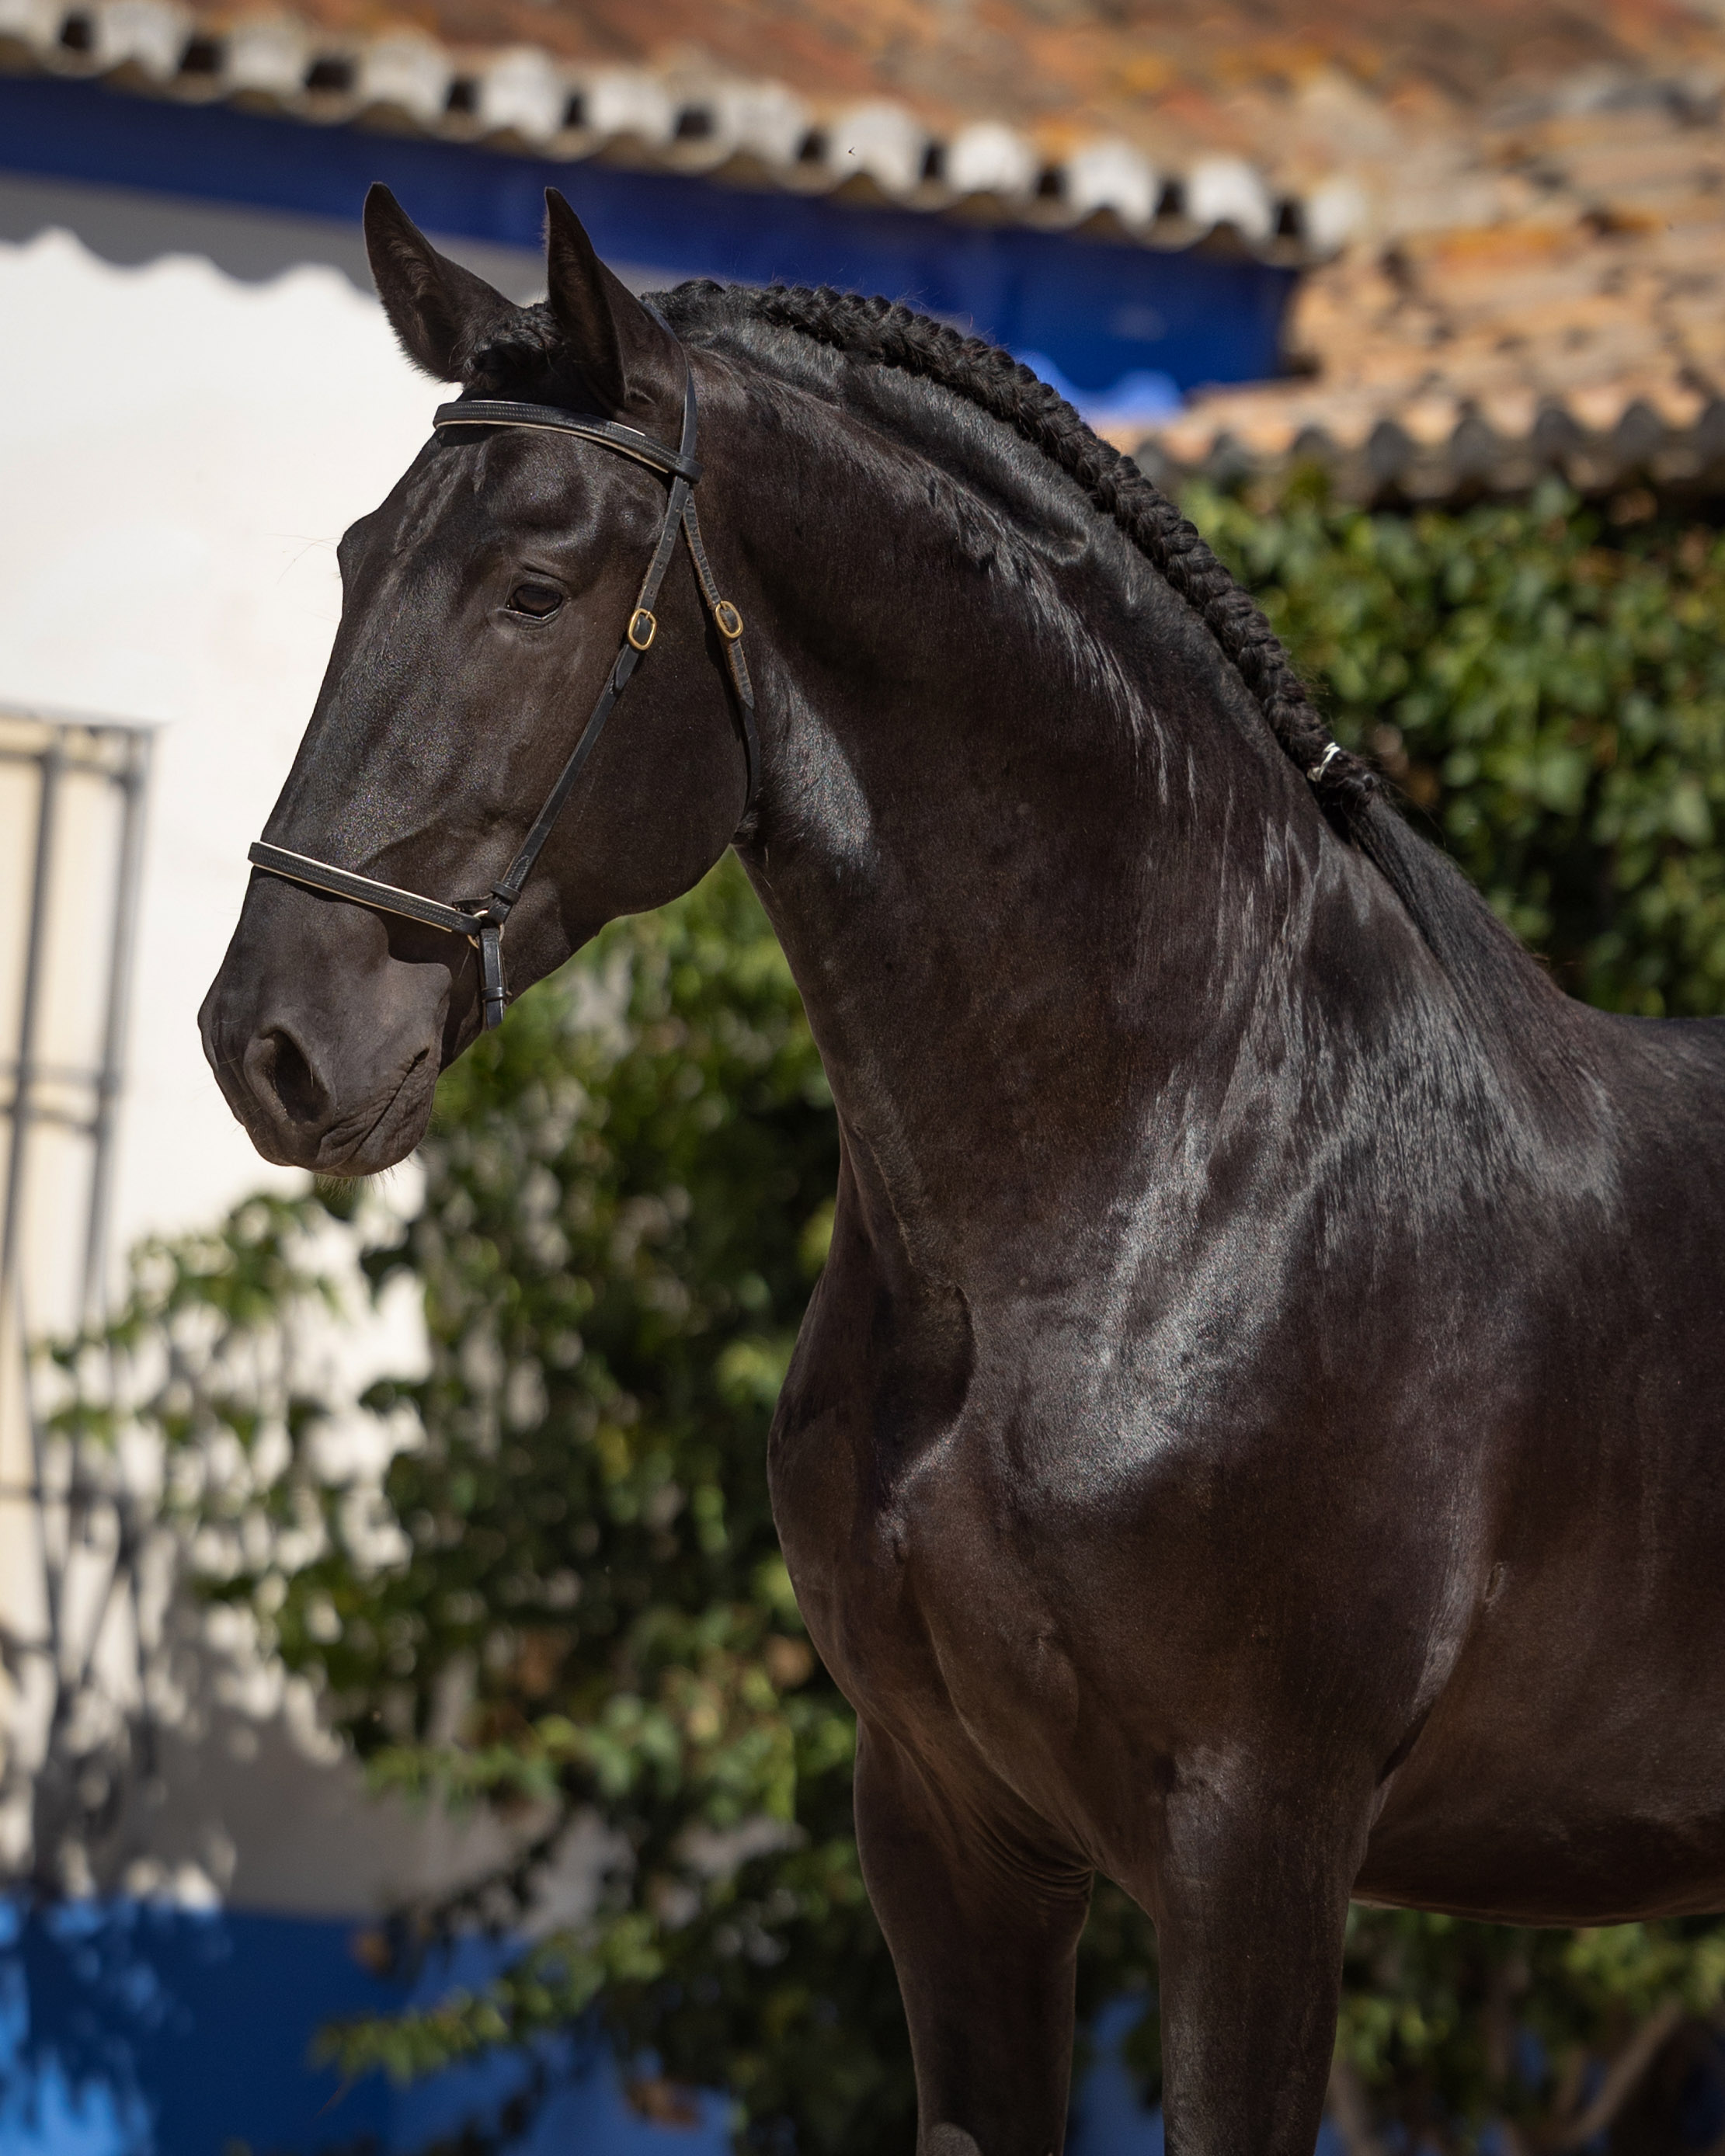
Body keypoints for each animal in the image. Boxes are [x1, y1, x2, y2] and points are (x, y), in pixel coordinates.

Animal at [200, 185, 1725, 2156]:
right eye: (349, 561)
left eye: (534, 589)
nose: (270, 1042)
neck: (1181, 1175)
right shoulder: (947, 1839)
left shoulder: (1254, 1847)